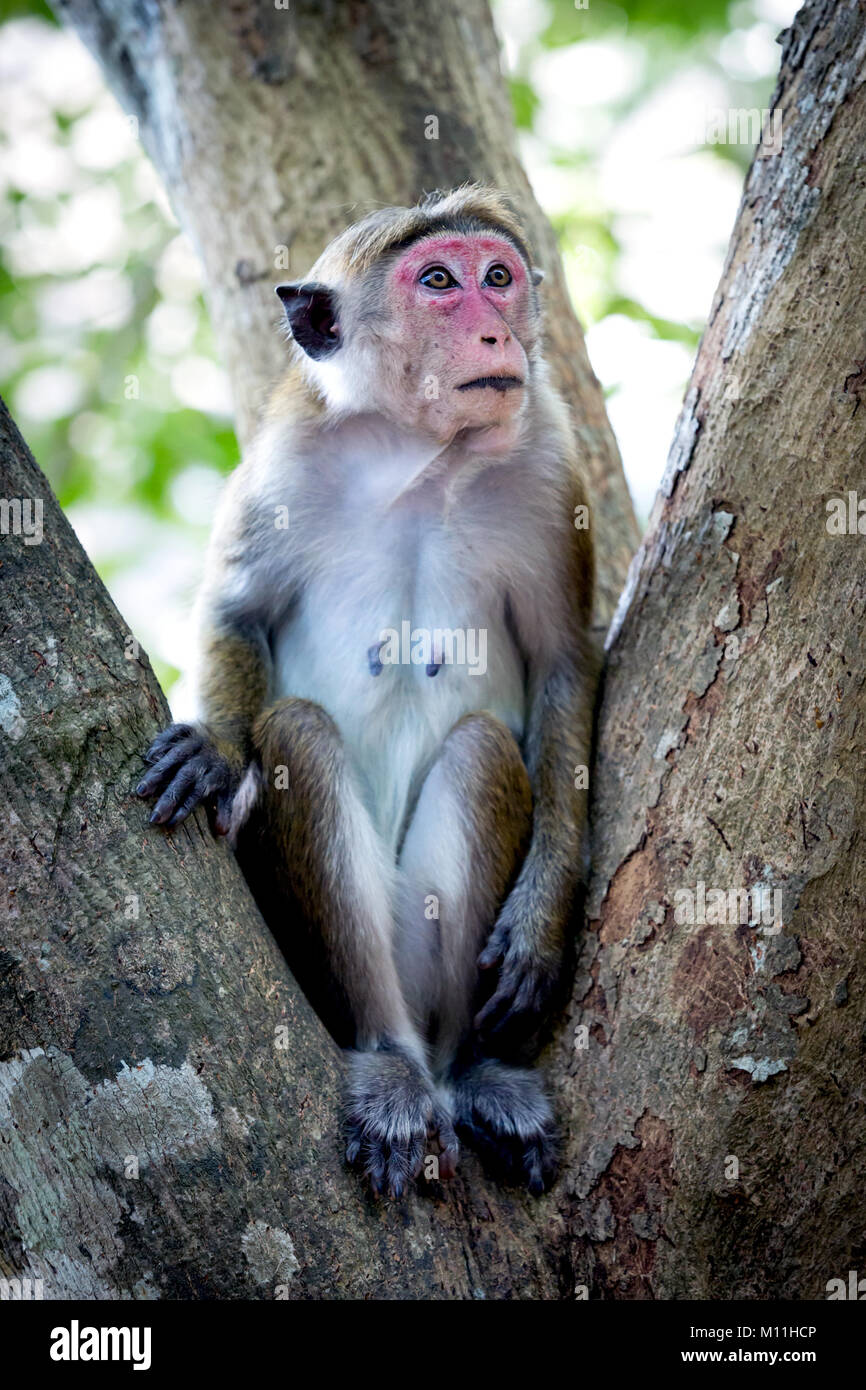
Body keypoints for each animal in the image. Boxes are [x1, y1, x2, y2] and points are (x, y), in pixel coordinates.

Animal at [137, 186, 596, 1198]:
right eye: (440, 283)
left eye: (497, 276)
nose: (497, 331)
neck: (420, 457)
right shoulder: (288, 452)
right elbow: (237, 610)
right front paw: (217, 745)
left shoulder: (551, 463)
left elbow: (564, 667)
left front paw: (542, 919)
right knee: (300, 737)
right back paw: (389, 1063)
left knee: (482, 748)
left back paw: (473, 1072)